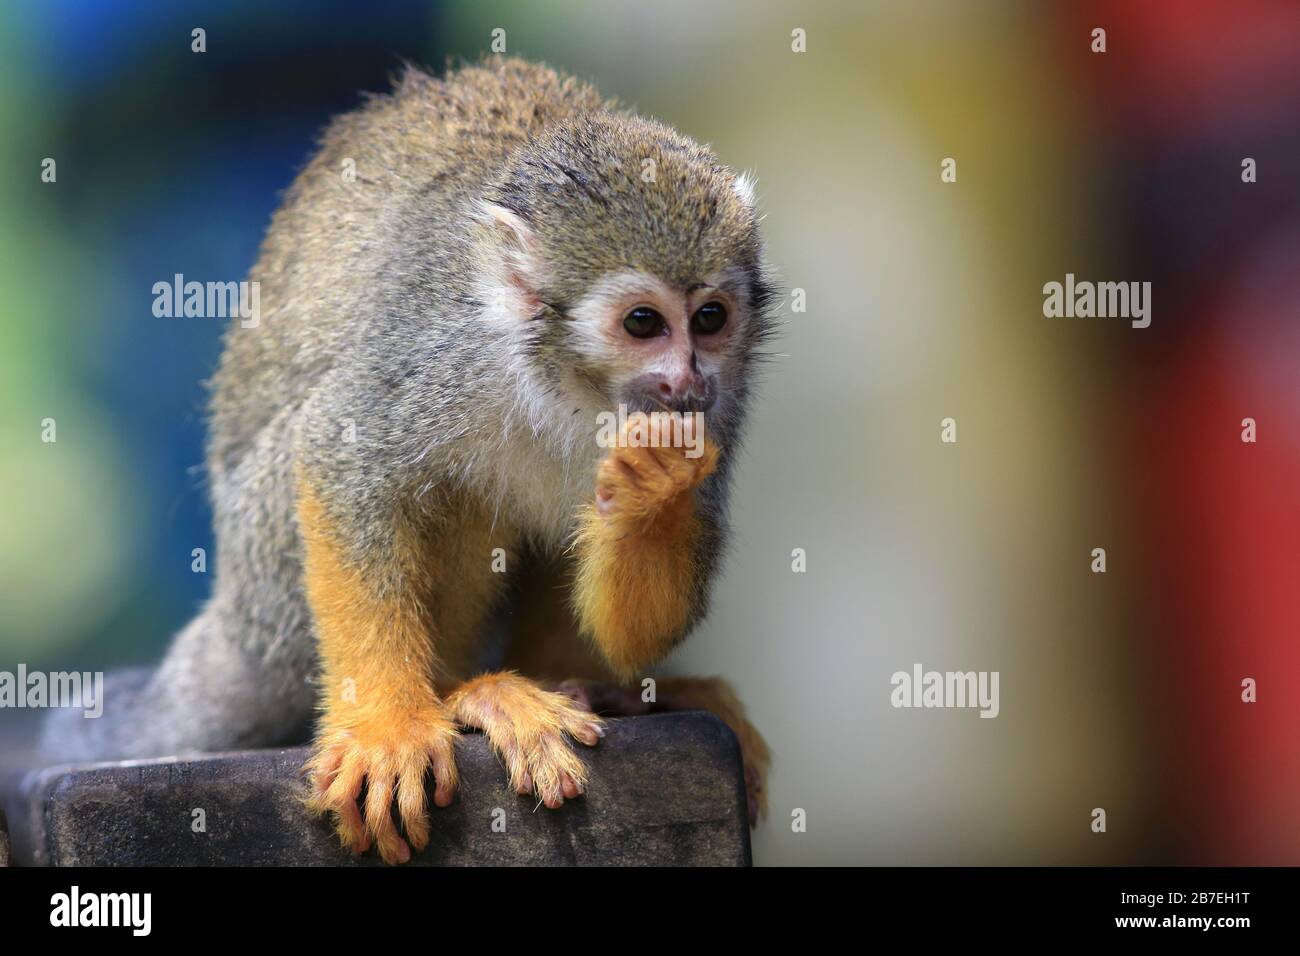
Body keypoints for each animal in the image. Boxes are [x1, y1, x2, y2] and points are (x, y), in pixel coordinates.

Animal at [41, 57, 775, 864]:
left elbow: (636, 624)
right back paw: (467, 691)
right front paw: (386, 725)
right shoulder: (440, 348)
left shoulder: (723, 414)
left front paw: (654, 492)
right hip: (266, 577)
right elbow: (338, 449)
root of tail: (233, 622)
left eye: (710, 319)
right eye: (643, 323)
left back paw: (578, 684)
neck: (567, 383)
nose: (686, 381)